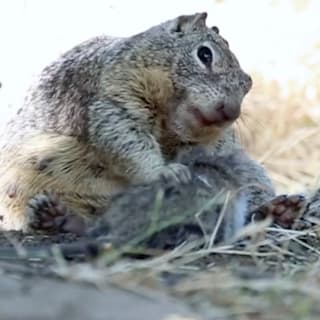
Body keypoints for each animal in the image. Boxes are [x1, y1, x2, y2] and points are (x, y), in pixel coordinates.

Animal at [0, 11, 304, 235]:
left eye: (248, 84)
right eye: (204, 54)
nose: (230, 111)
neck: (170, 124)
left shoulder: (220, 148)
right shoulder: (113, 100)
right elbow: (126, 137)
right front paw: (165, 172)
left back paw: (277, 211)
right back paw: (53, 217)